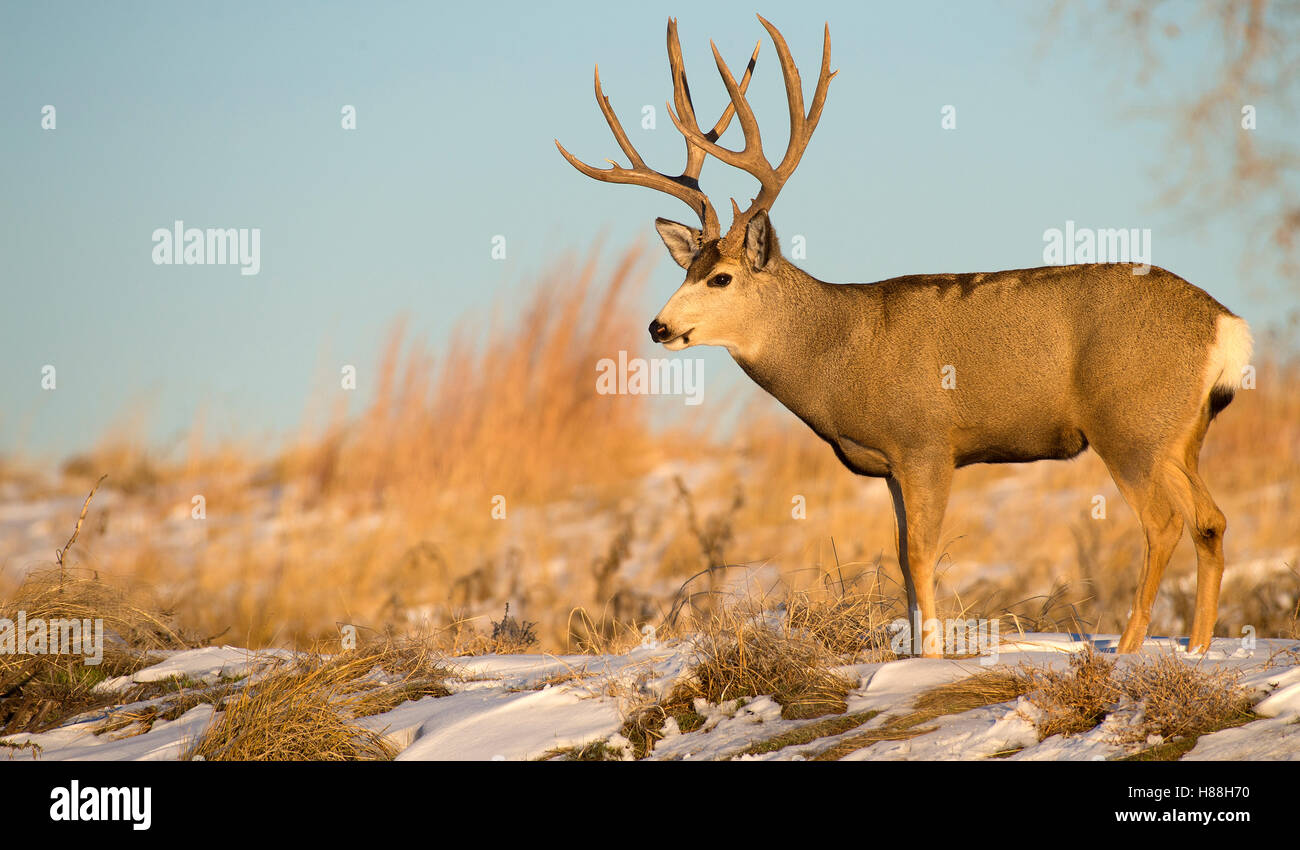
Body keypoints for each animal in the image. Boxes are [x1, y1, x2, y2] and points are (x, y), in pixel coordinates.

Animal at [555, 16, 1253, 657]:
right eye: (686, 270)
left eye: (722, 277)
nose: (659, 326)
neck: (841, 352)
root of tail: (1225, 324)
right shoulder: (892, 463)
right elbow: (897, 554)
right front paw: (917, 653)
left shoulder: (926, 442)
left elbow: (920, 553)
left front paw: (932, 658)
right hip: (1181, 434)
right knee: (1211, 520)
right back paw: (1196, 651)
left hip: (1128, 423)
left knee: (1164, 523)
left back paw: (1130, 651)